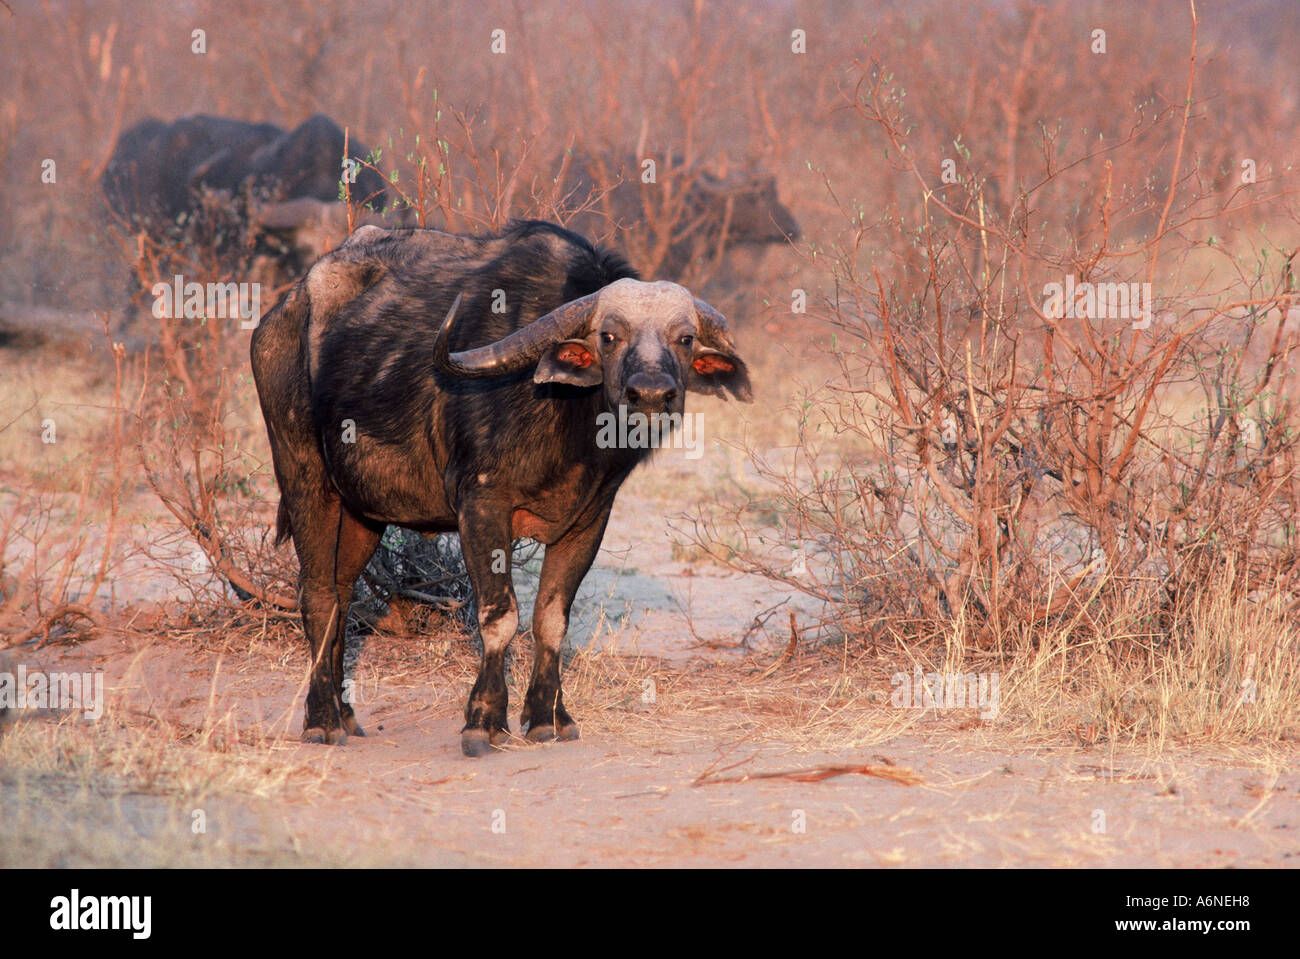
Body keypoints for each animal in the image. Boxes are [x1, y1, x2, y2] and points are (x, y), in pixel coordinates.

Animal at [250, 219, 752, 756]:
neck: (566, 420)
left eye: (685, 338)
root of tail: (283, 311)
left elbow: (551, 619)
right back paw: (321, 720)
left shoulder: (589, 519)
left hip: (362, 511)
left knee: (342, 594)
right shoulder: (482, 506)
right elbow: (500, 615)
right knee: (318, 596)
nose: (652, 395)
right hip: (304, 475)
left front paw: (548, 717)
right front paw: (484, 720)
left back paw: (343, 714)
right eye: (609, 336)